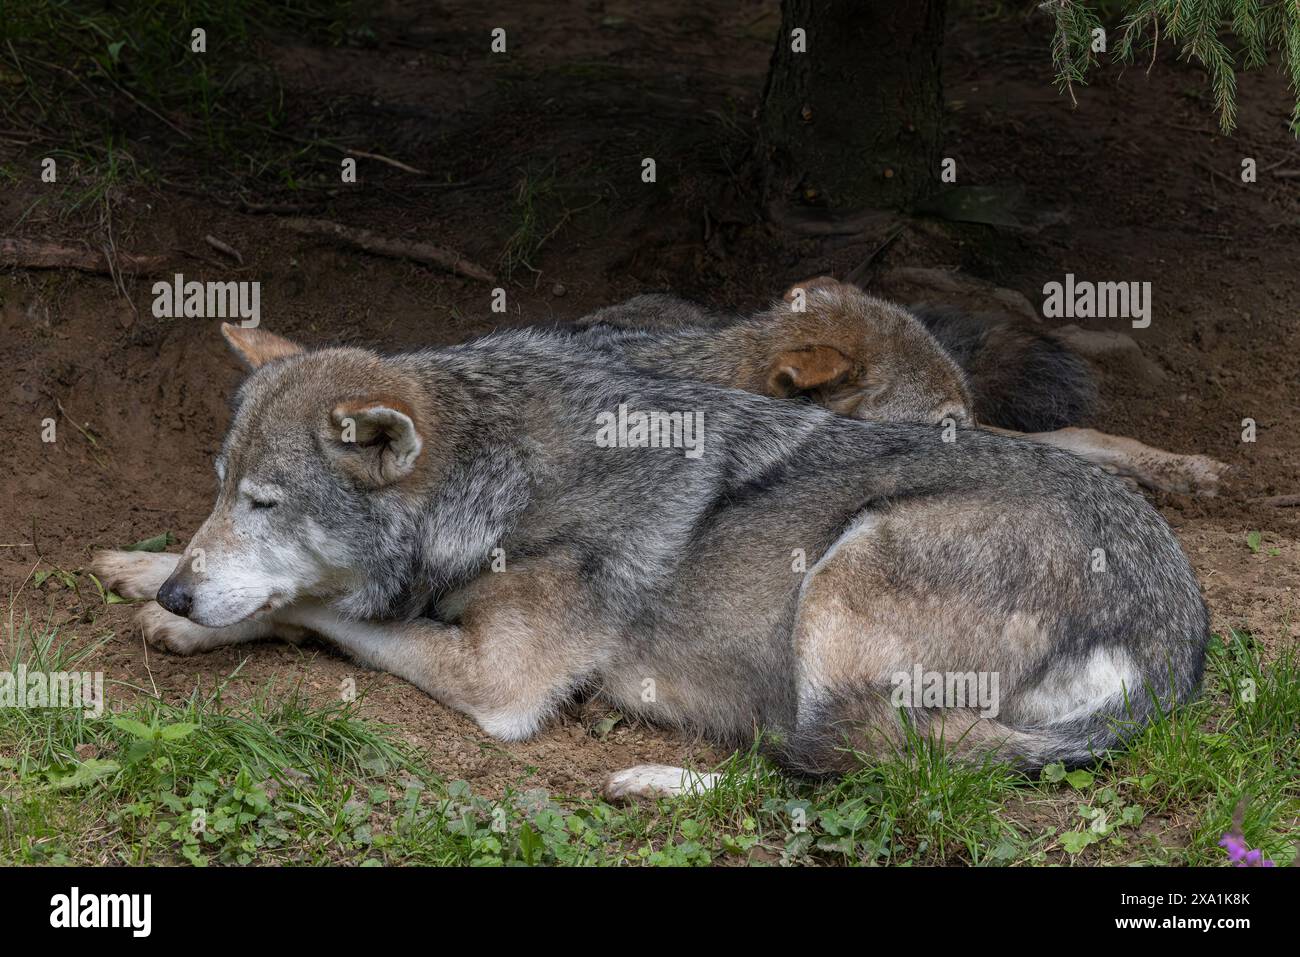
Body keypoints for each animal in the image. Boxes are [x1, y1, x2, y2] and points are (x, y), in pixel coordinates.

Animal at [92, 295, 1209, 798]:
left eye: (268, 502)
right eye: (222, 489)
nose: (184, 597)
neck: (496, 482)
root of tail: (1179, 639)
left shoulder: (500, 681)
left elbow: (324, 608)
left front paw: (180, 616)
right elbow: (294, 598)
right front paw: (149, 577)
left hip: (844, 578)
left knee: (856, 770)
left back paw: (653, 779)